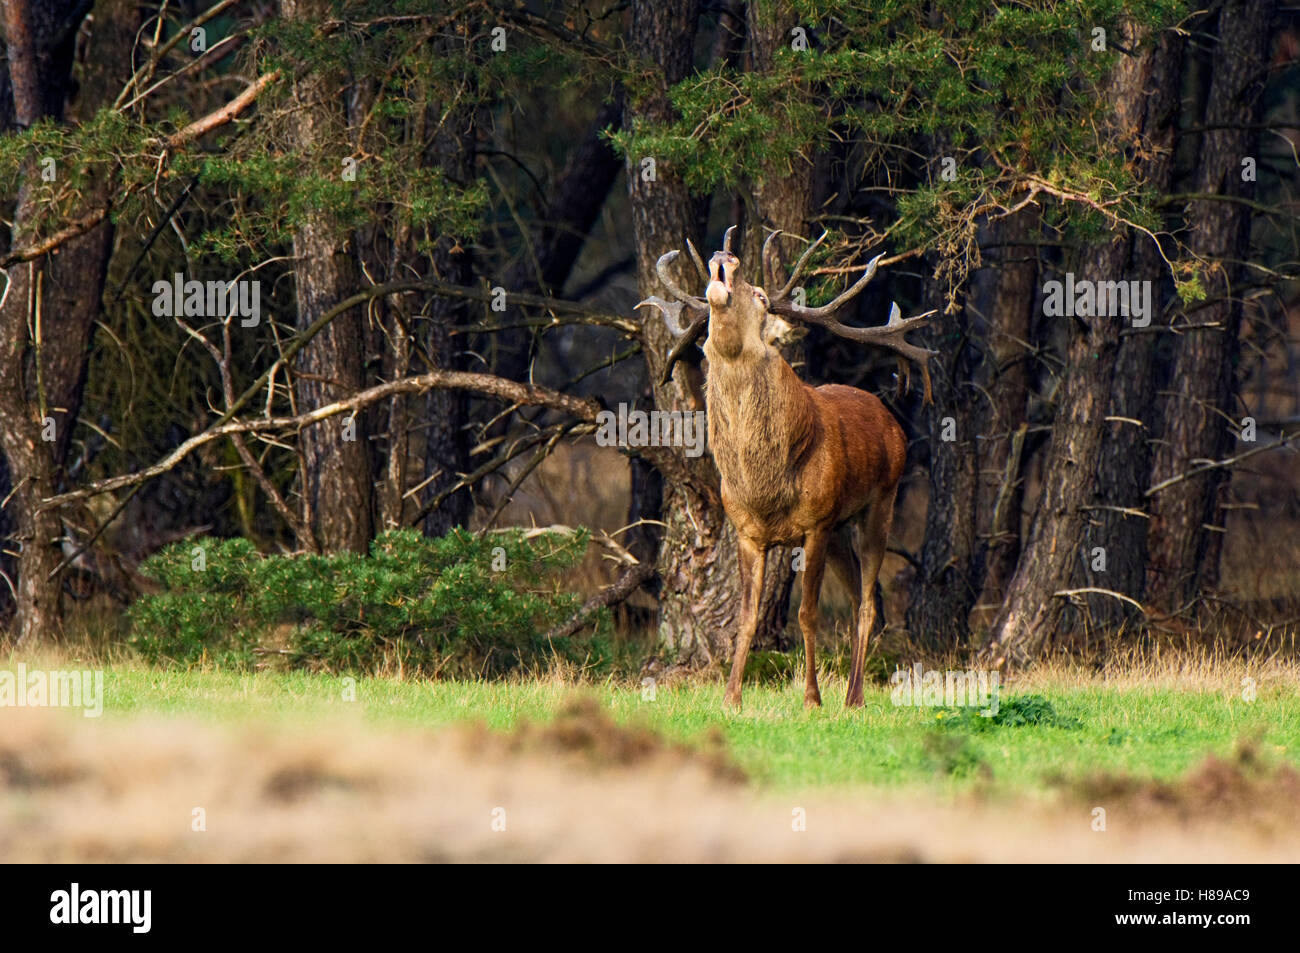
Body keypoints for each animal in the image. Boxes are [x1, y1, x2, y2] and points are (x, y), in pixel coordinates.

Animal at [638, 227, 935, 710]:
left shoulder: (815, 524)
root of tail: (890, 418)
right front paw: (731, 698)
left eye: (761, 296)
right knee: (859, 595)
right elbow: (746, 616)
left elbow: (807, 613)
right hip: (839, 530)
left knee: (869, 602)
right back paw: (850, 692)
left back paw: (854, 697)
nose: (724, 256)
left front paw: (812, 697)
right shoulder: (747, 531)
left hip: (880, 502)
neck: (766, 487)